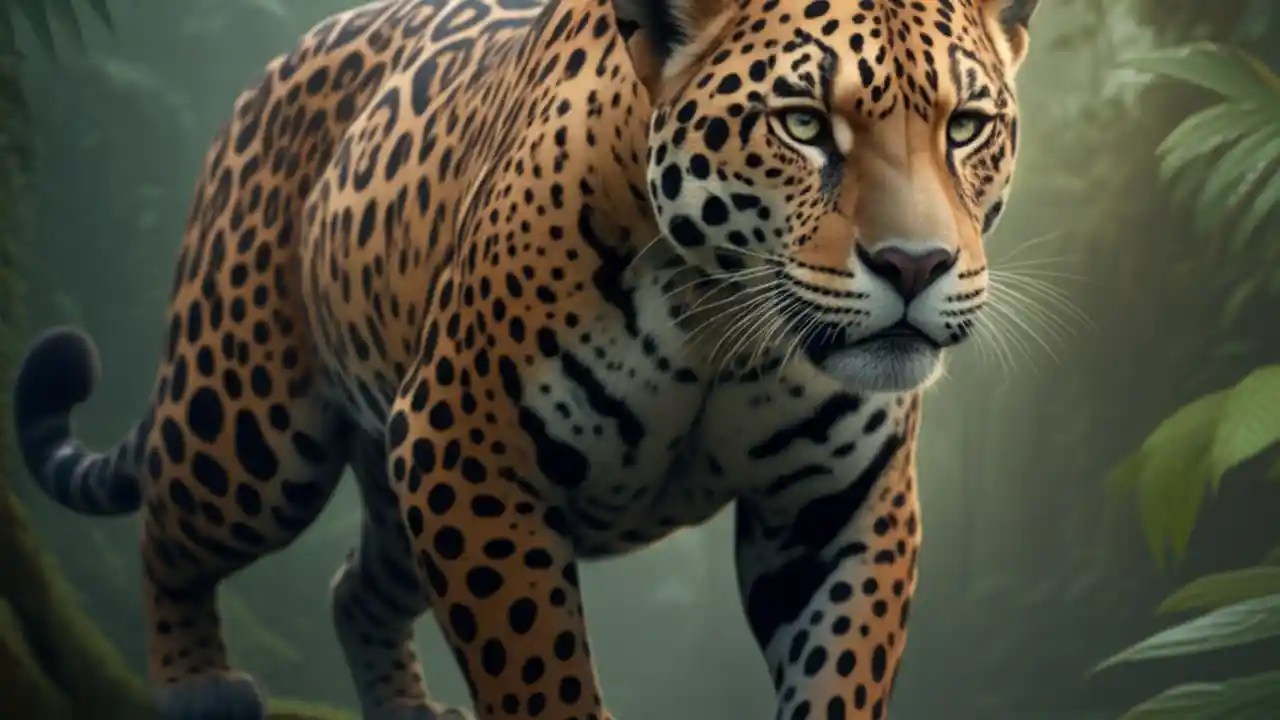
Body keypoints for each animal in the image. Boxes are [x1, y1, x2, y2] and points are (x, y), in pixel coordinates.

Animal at [13, 0, 1039, 718]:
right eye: (803, 123)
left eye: (965, 127)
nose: (916, 265)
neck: (719, 317)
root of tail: (271, 72)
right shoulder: (465, 448)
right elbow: (538, 670)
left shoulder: (844, 501)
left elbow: (840, 673)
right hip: (251, 437)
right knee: (169, 529)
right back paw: (196, 682)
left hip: (386, 475)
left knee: (356, 589)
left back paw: (408, 709)